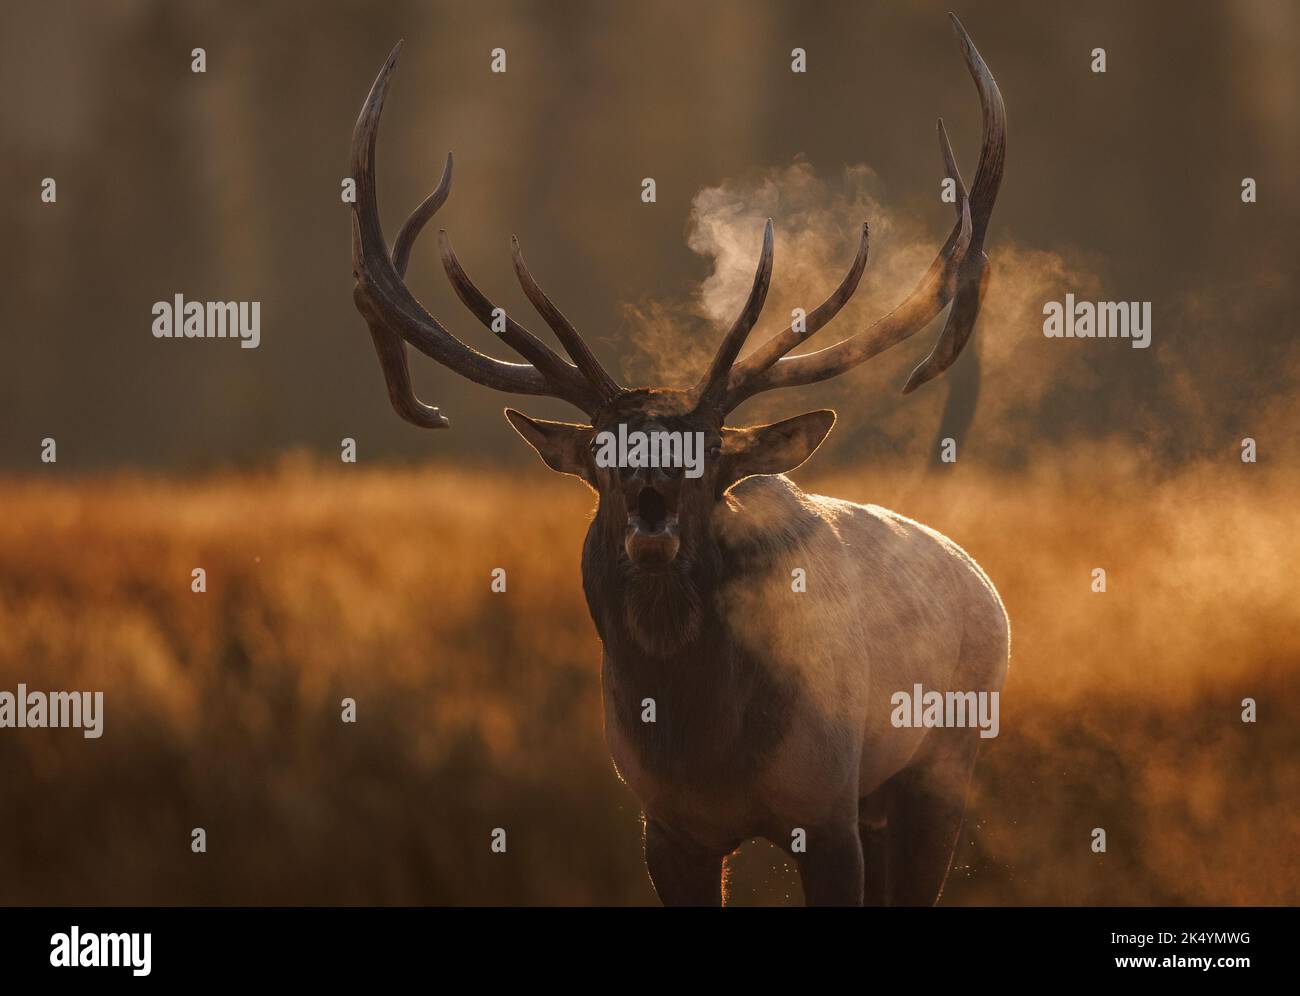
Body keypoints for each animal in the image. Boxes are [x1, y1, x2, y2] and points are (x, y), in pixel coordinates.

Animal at [348, 13, 1008, 907]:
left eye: (709, 456)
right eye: (604, 455)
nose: (652, 506)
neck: (707, 748)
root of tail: (981, 581)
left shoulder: (826, 806)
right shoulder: (665, 825)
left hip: (941, 768)